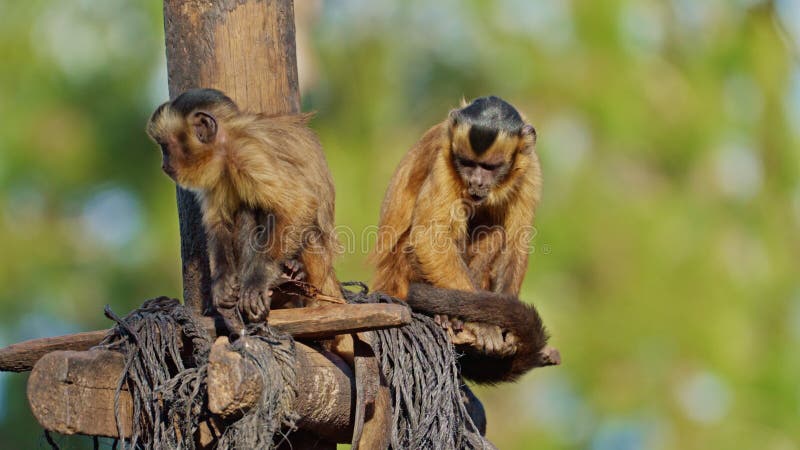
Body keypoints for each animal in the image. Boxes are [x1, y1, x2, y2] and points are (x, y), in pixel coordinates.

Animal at [146, 88, 340, 324]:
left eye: (165, 147)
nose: (164, 164)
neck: (226, 142)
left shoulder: (247, 153)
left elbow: (300, 203)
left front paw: (260, 278)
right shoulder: (218, 168)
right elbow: (218, 223)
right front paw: (222, 284)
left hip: (316, 258)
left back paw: (289, 275)